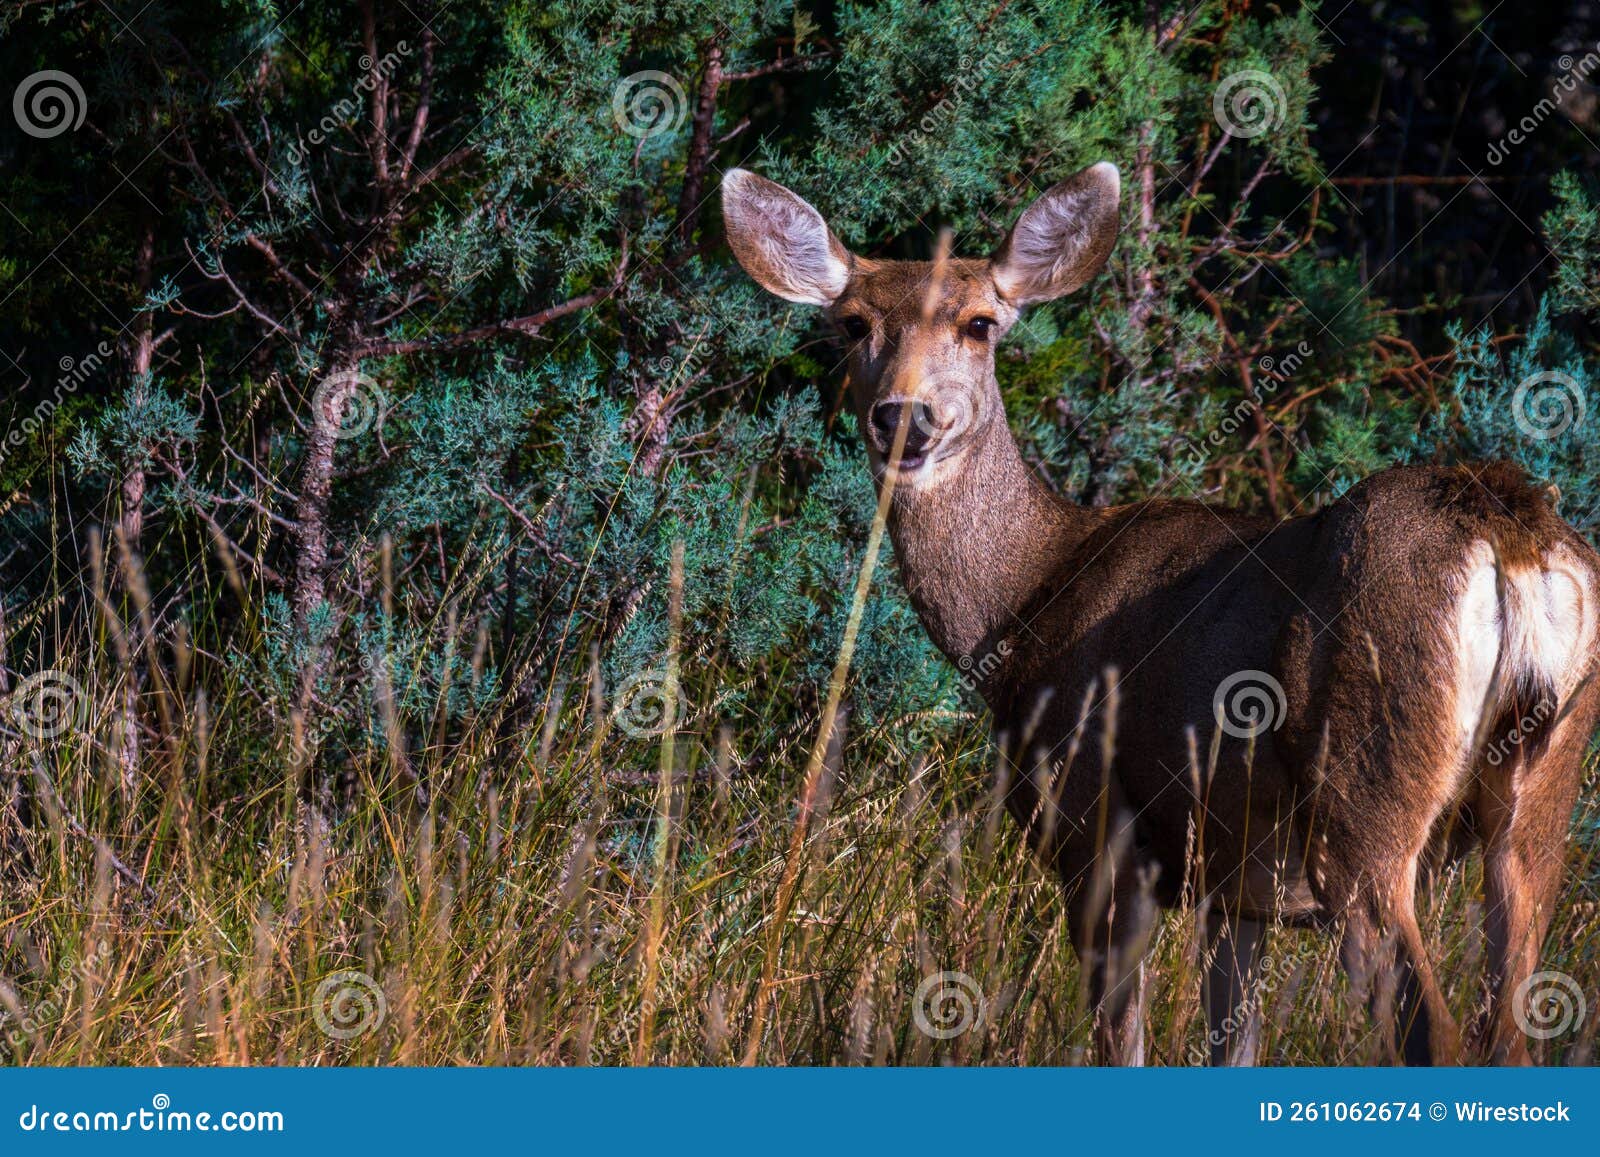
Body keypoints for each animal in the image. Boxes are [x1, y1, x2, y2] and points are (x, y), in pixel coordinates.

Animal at [721, 159, 1600, 1065]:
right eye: (853, 323)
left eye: (979, 323)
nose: (903, 415)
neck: (1028, 594)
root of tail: (1509, 531)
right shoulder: (1236, 884)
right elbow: (1232, 1044)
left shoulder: (1097, 826)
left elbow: (1124, 1042)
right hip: (1543, 794)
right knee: (1512, 1018)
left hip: (1365, 795)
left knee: (1437, 1027)